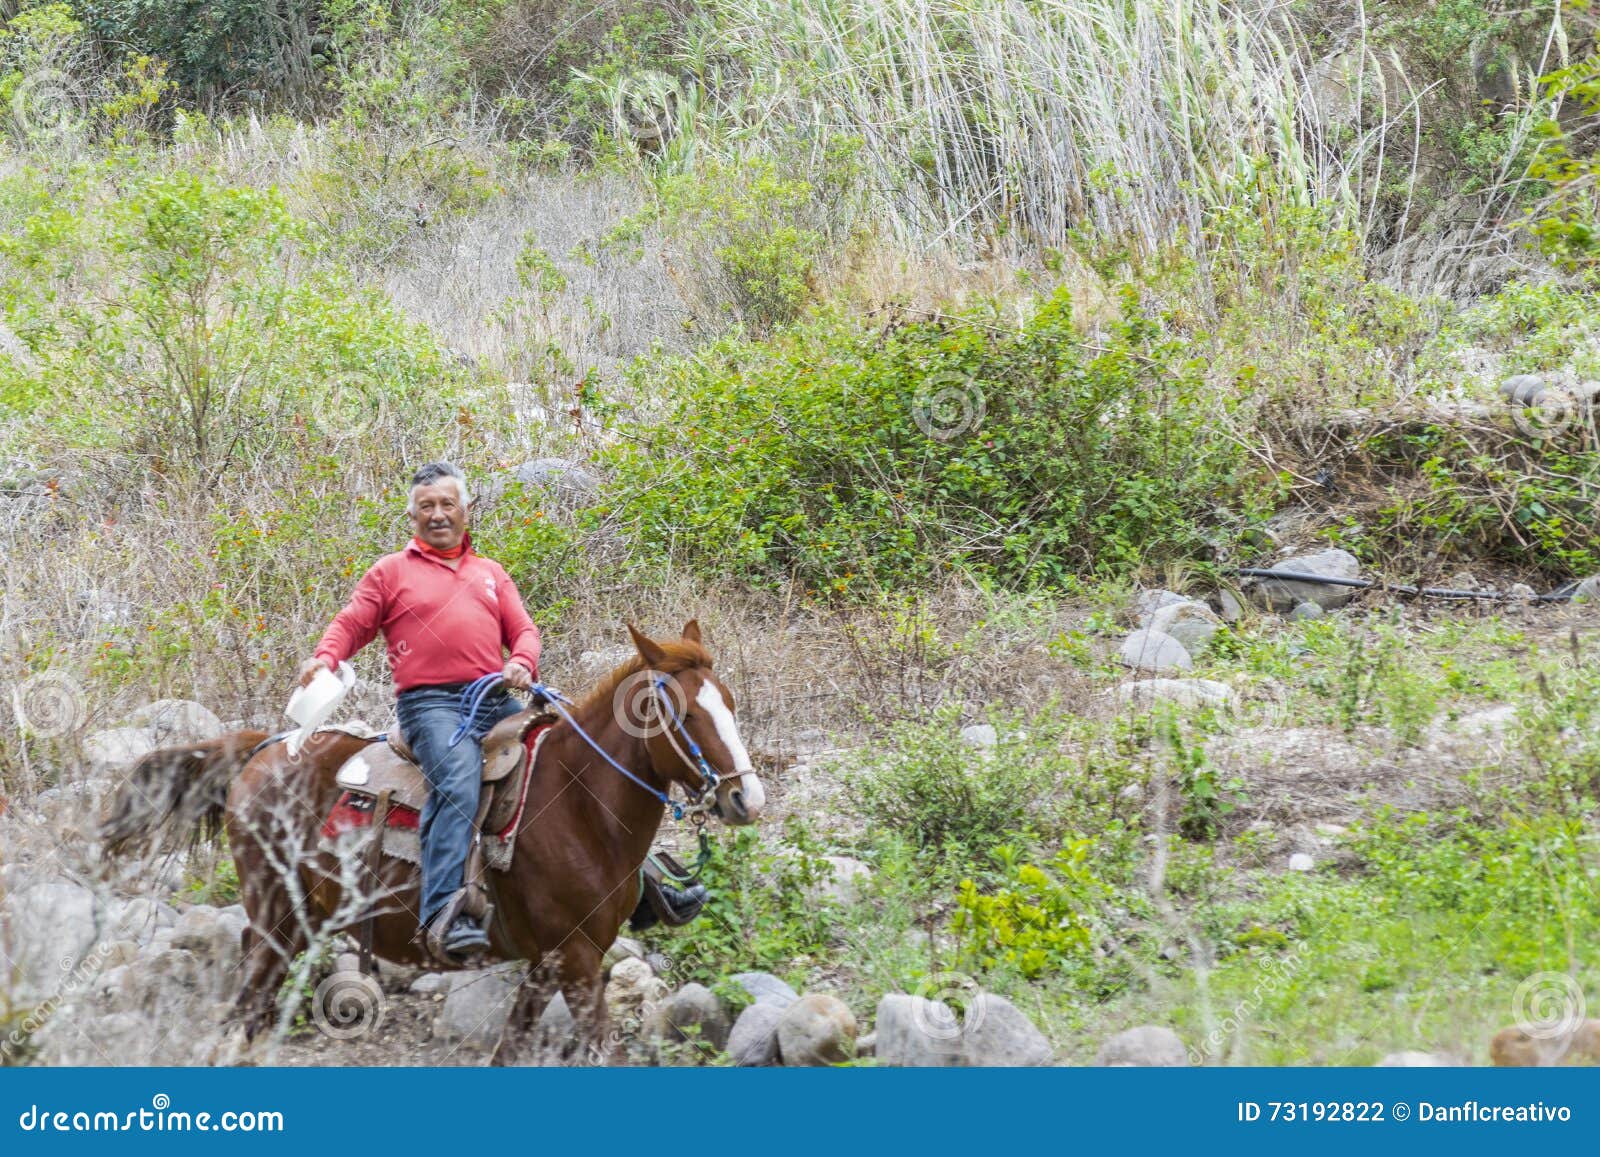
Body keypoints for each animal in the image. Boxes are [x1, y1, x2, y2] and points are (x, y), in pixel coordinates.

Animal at [100, 620, 766, 1065]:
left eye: (732, 703)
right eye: (684, 713)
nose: (746, 799)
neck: (580, 809)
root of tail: (264, 748)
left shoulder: (548, 963)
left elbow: (511, 1049)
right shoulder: (575, 959)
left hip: (305, 916)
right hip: (274, 907)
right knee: (251, 990)